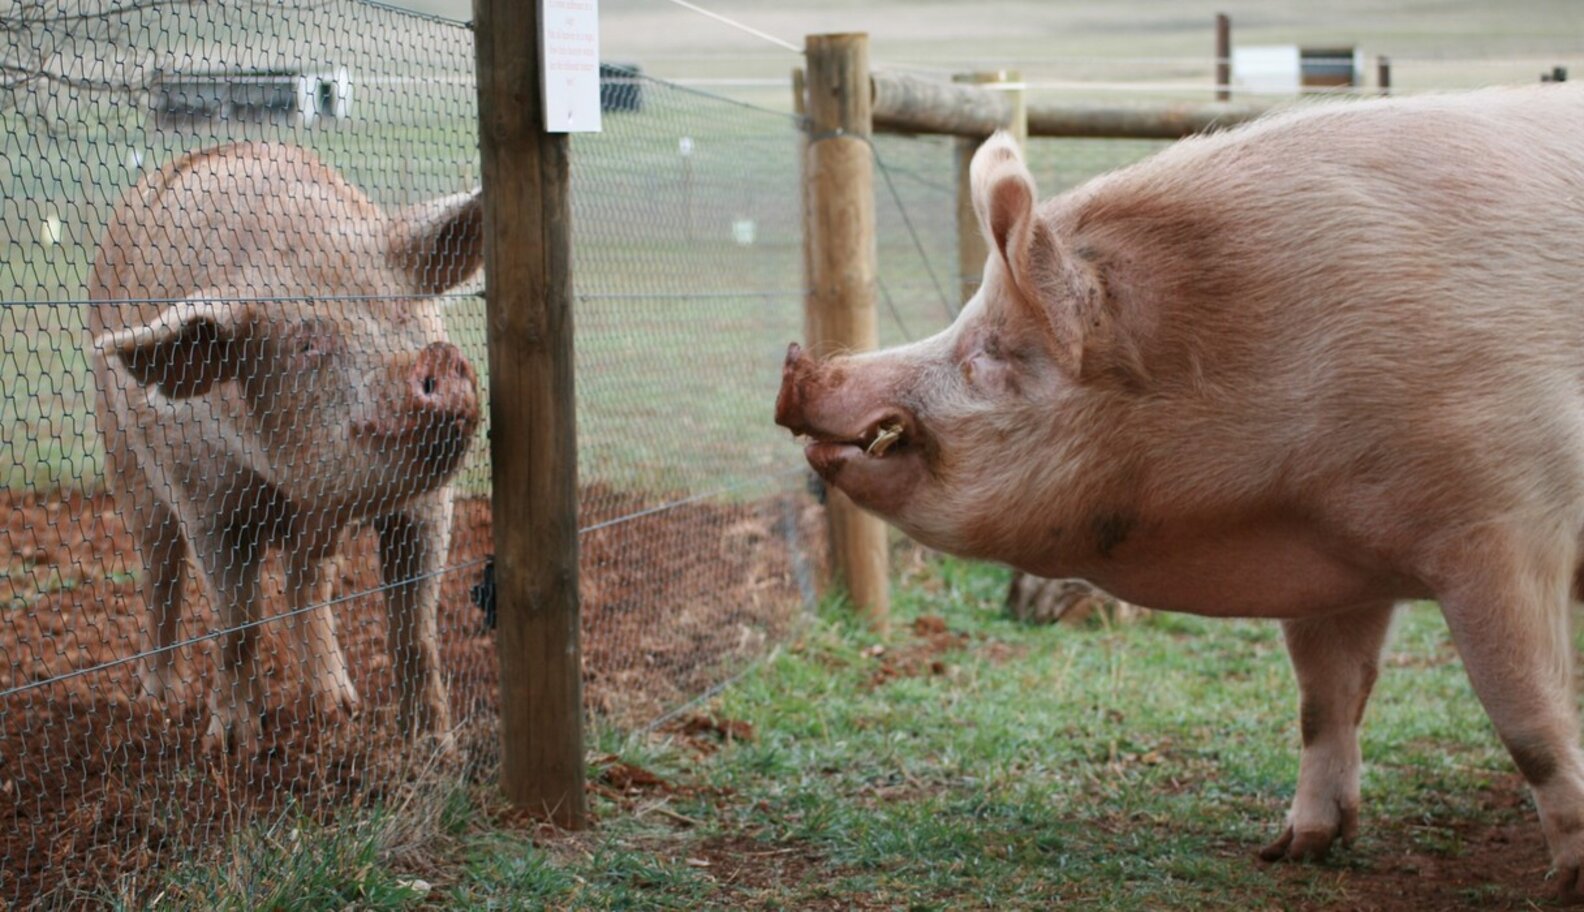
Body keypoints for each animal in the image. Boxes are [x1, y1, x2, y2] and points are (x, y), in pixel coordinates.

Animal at [88, 142, 483, 753]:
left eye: (406, 309)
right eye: (305, 344)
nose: (436, 359)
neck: (300, 489)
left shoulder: (428, 504)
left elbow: (416, 623)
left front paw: (435, 748)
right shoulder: (208, 506)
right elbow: (237, 622)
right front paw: (231, 747)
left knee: (307, 583)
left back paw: (338, 706)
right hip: (124, 462)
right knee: (161, 574)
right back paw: (158, 704)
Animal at [777, 85, 1584, 900]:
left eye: (992, 352)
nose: (797, 368)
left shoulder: (1504, 527)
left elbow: (1530, 720)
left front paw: (1562, 884)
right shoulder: (1333, 562)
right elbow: (1325, 700)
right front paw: (1290, 851)